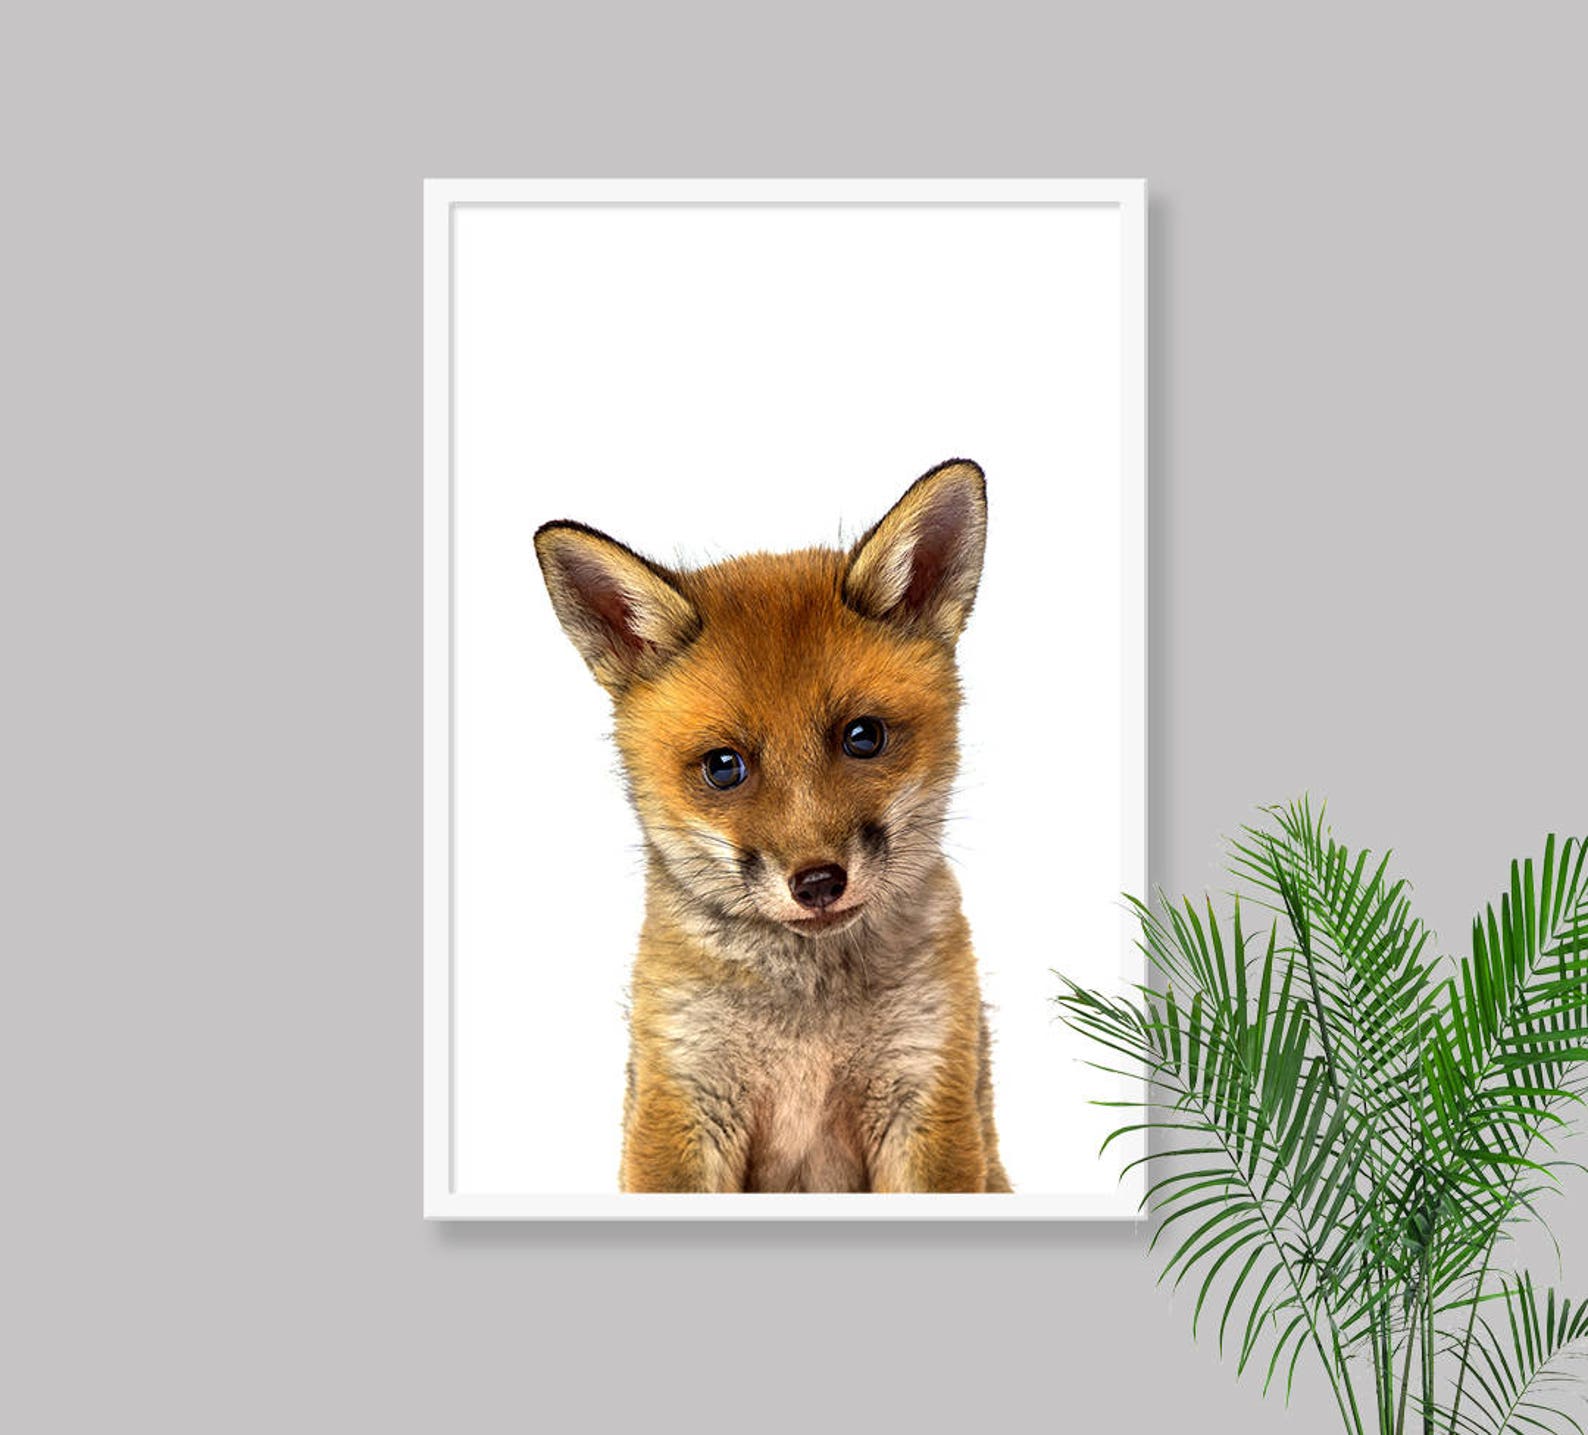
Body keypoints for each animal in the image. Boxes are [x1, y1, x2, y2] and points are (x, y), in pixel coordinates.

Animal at [532, 458, 1010, 1193]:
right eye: (724, 767)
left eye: (863, 737)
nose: (817, 883)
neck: (807, 1025)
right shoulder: (681, 1101)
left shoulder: (927, 1089)